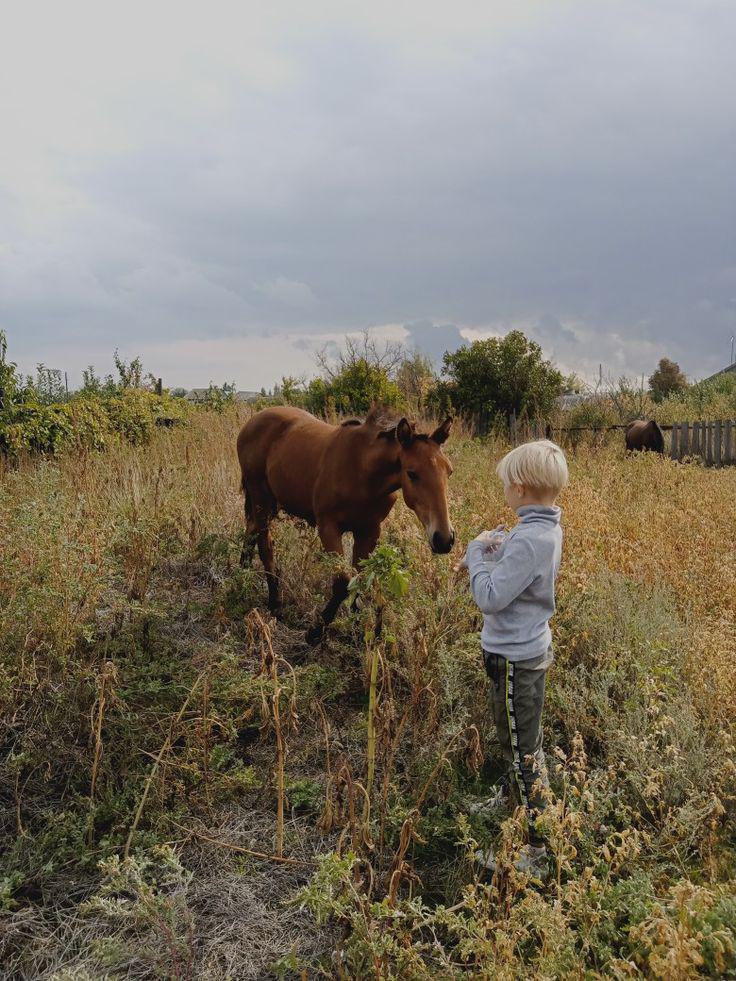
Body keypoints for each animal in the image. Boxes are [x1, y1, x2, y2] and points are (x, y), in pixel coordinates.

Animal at [236, 406, 454, 644]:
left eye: (449, 471)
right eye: (412, 473)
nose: (444, 539)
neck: (362, 472)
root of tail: (254, 420)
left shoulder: (368, 532)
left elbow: (360, 579)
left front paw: (360, 628)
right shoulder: (329, 527)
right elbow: (342, 582)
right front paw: (315, 632)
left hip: (270, 503)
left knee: (250, 532)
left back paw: (242, 574)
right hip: (261, 500)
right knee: (265, 546)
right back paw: (274, 604)